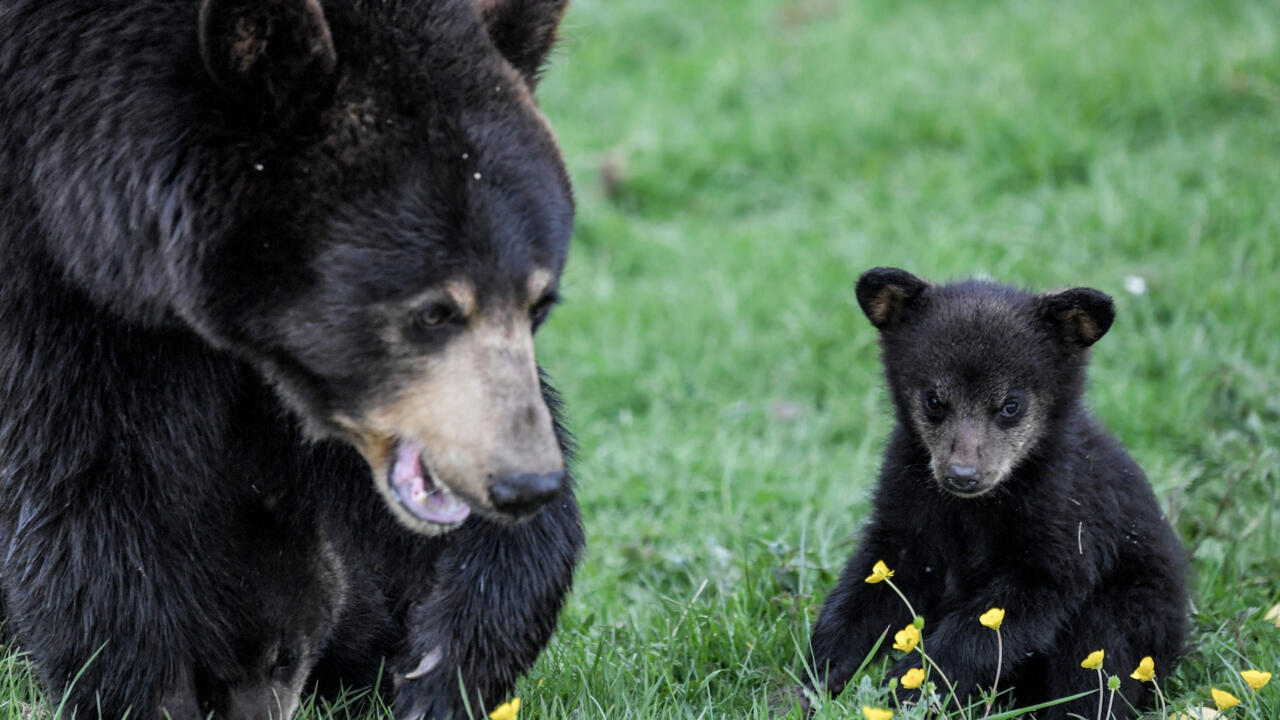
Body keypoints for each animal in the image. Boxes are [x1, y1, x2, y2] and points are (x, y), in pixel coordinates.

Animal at [0, 0, 583, 718]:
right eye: (432, 312)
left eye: (540, 302)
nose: (525, 483)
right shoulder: (58, 292)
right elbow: (84, 492)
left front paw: (442, 670)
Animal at [803, 268, 1187, 719]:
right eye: (934, 400)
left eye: (1010, 405)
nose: (963, 475)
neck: (976, 508)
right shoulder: (907, 501)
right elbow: (869, 588)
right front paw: (811, 684)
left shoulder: (1065, 518)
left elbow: (1004, 616)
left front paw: (906, 690)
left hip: (1135, 605)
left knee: (1100, 655)